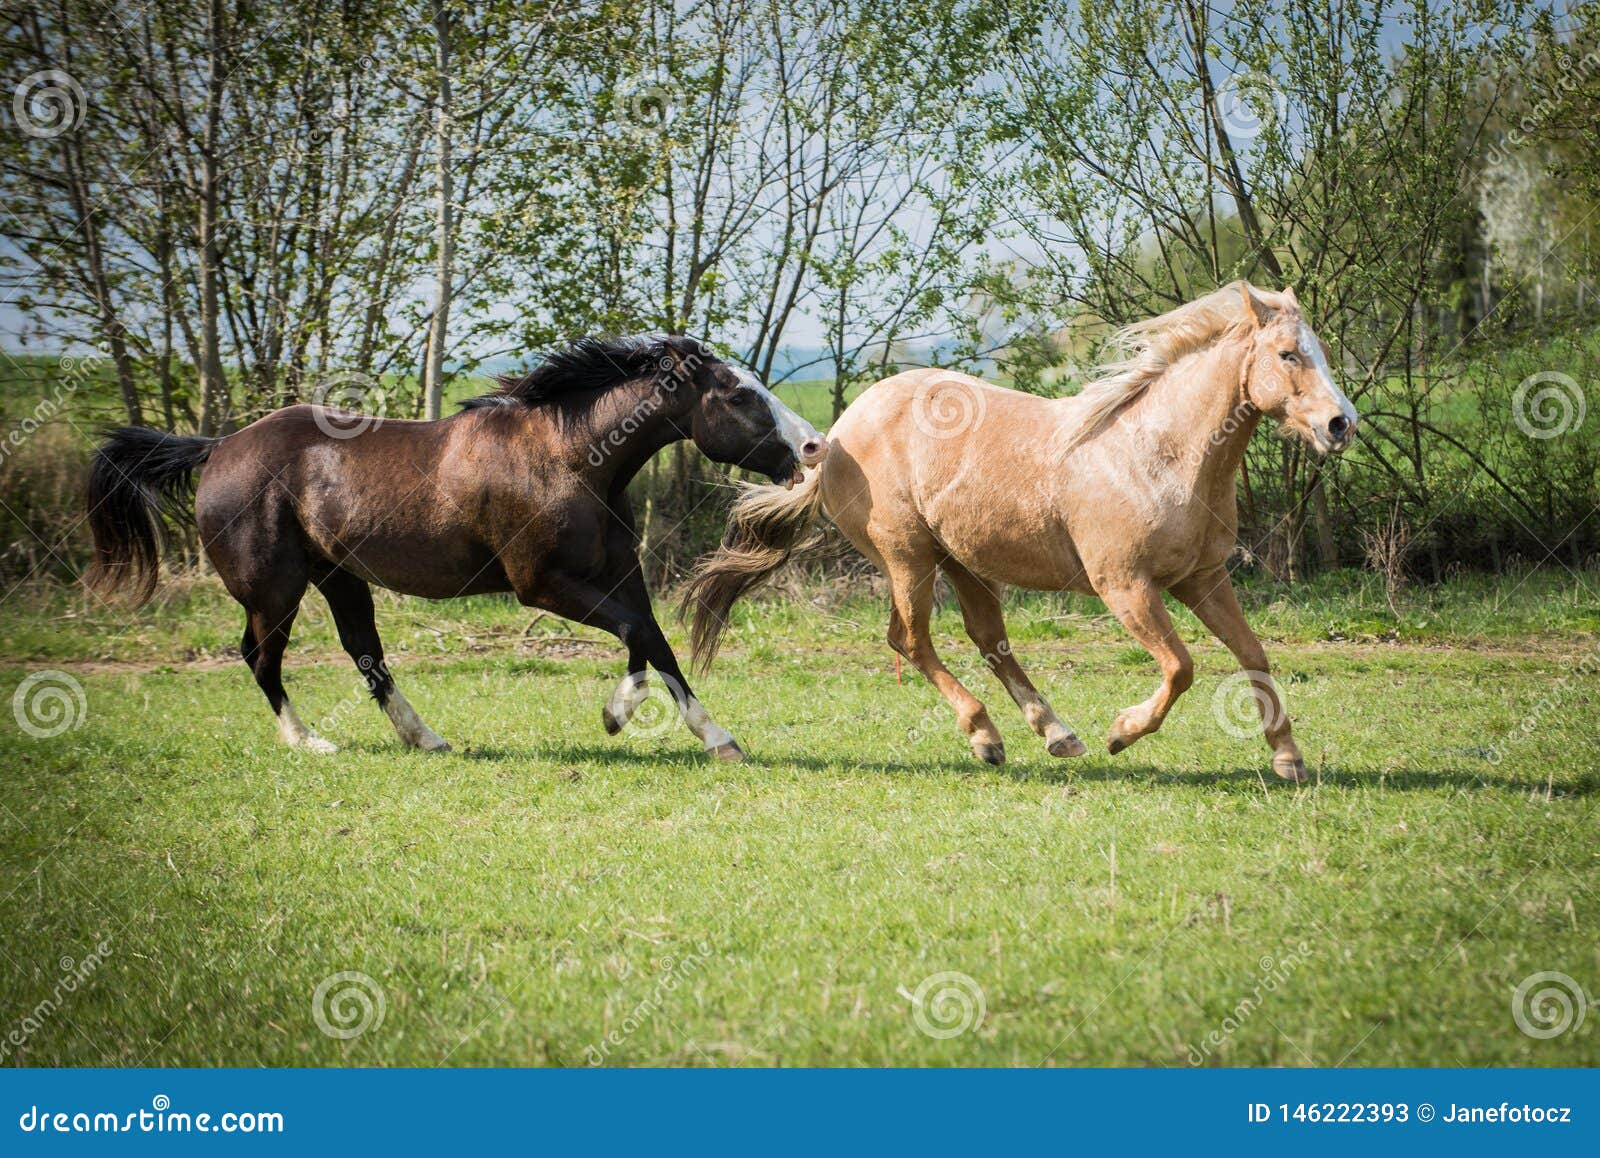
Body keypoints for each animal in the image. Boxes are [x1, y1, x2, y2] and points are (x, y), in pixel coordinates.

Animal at [85, 334, 828, 760]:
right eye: (736, 394)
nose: (814, 447)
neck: (572, 458)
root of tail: (218, 448)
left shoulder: (621, 575)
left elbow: (652, 642)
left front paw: (699, 734)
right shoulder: (540, 585)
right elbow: (638, 634)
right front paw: (633, 719)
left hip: (339, 577)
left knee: (366, 655)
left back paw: (427, 738)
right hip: (275, 588)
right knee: (261, 658)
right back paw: (310, 741)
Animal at [684, 282, 1357, 781]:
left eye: (1318, 349)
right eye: (1288, 354)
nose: (1340, 424)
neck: (1157, 454)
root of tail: (837, 435)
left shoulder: (1202, 578)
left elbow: (1253, 655)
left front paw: (1289, 759)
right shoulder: (1126, 587)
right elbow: (1181, 668)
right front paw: (1122, 733)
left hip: (962, 560)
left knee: (988, 640)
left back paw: (1056, 733)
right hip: (908, 557)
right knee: (911, 640)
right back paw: (987, 737)